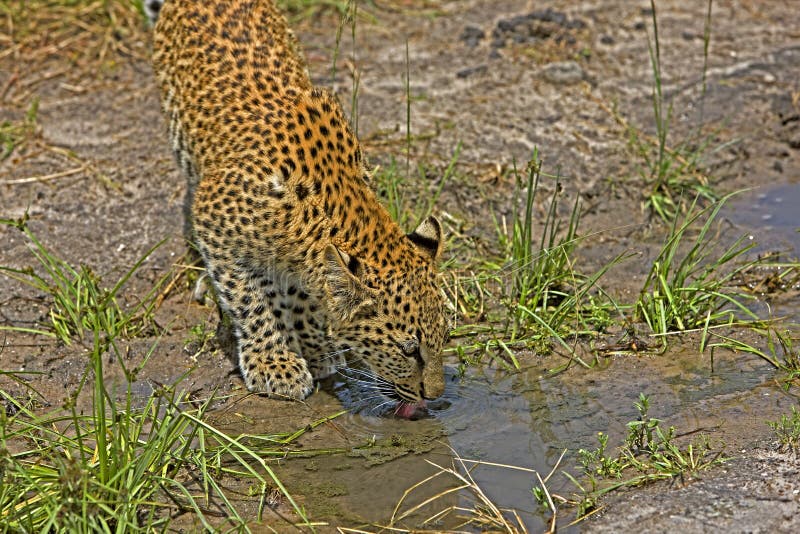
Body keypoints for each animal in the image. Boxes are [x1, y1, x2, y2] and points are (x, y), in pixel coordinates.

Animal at [148, 0, 448, 413]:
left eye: (445, 336)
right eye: (409, 350)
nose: (435, 396)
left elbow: (302, 291)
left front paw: (313, 346)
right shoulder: (214, 222)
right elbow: (250, 301)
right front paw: (275, 363)